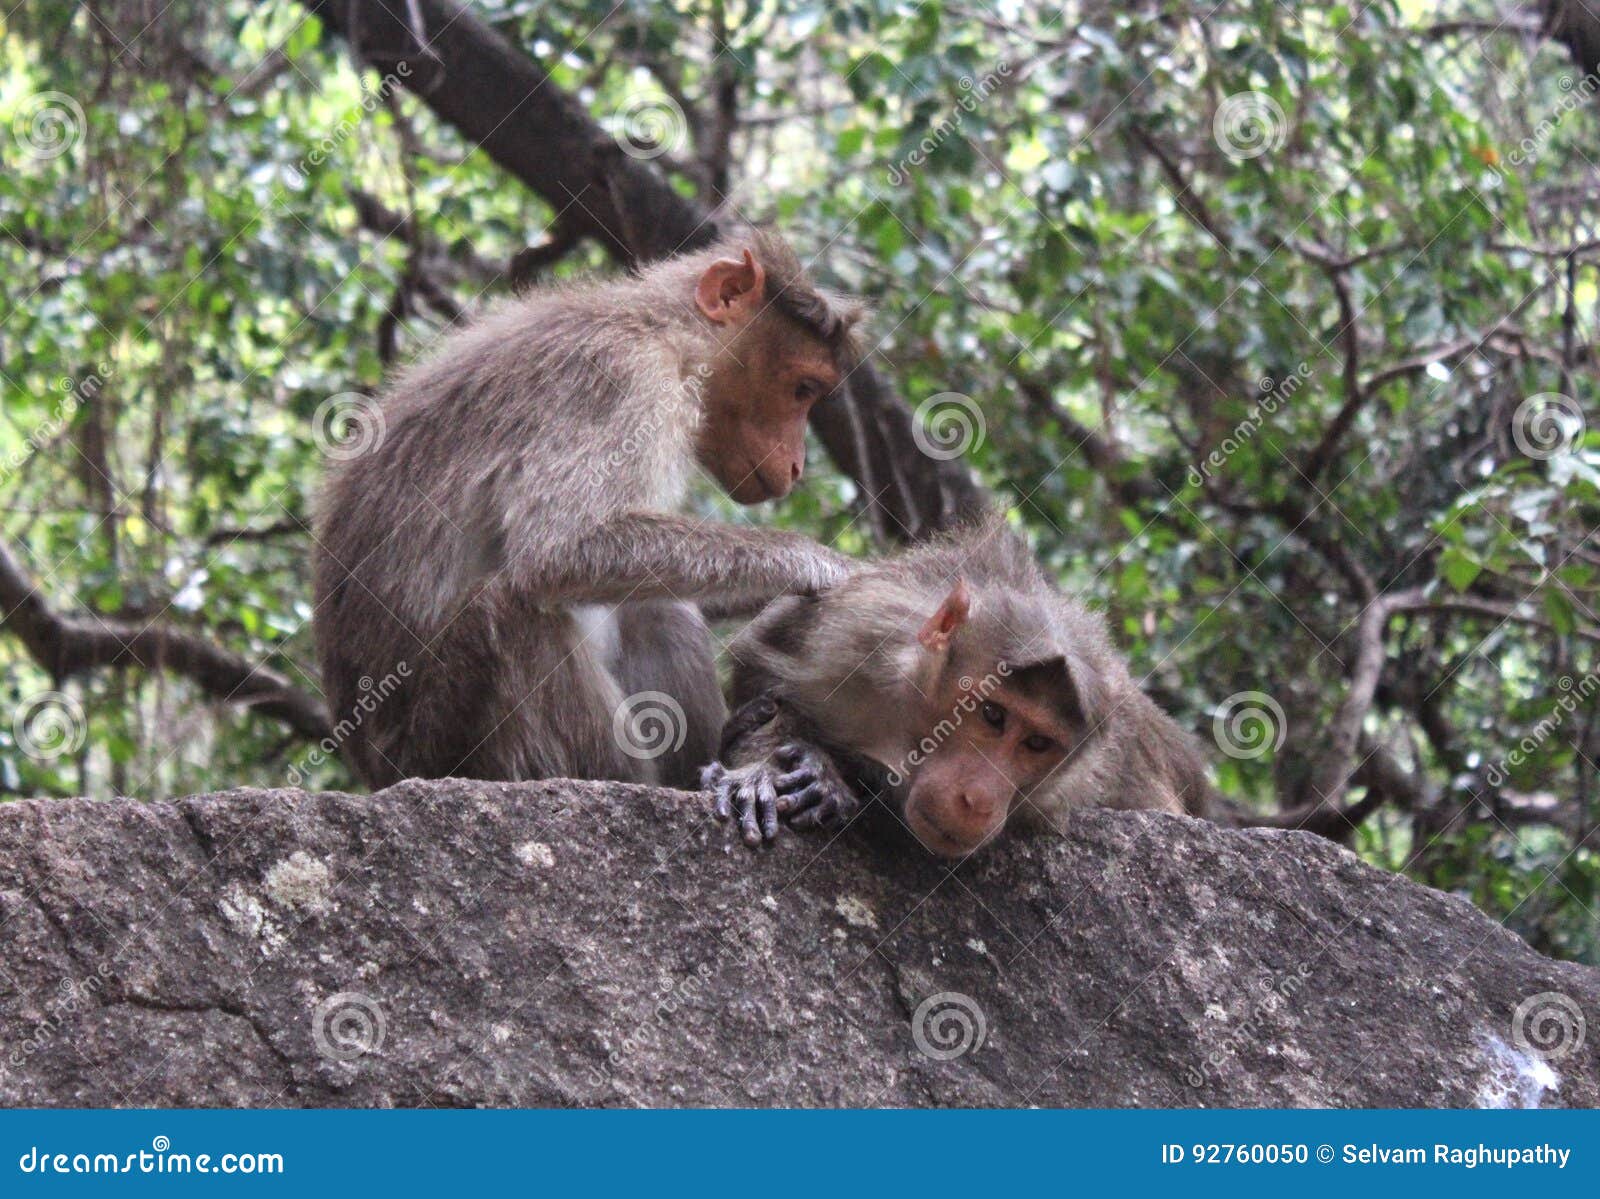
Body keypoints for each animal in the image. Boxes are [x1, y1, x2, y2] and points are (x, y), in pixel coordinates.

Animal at [311, 229, 864, 790]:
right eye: (802, 389)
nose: (796, 466)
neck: (662, 331)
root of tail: (380, 771)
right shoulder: (621, 376)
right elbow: (559, 549)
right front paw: (820, 564)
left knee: (653, 606)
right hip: (448, 743)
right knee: (506, 607)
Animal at [702, 515, 1215, 856]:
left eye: (1037, 743)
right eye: (992, 715)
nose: (979, 800)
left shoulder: (1083, 782)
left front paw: (816, 774)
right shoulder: (858, 630)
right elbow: (761, 656)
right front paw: (776, 767)